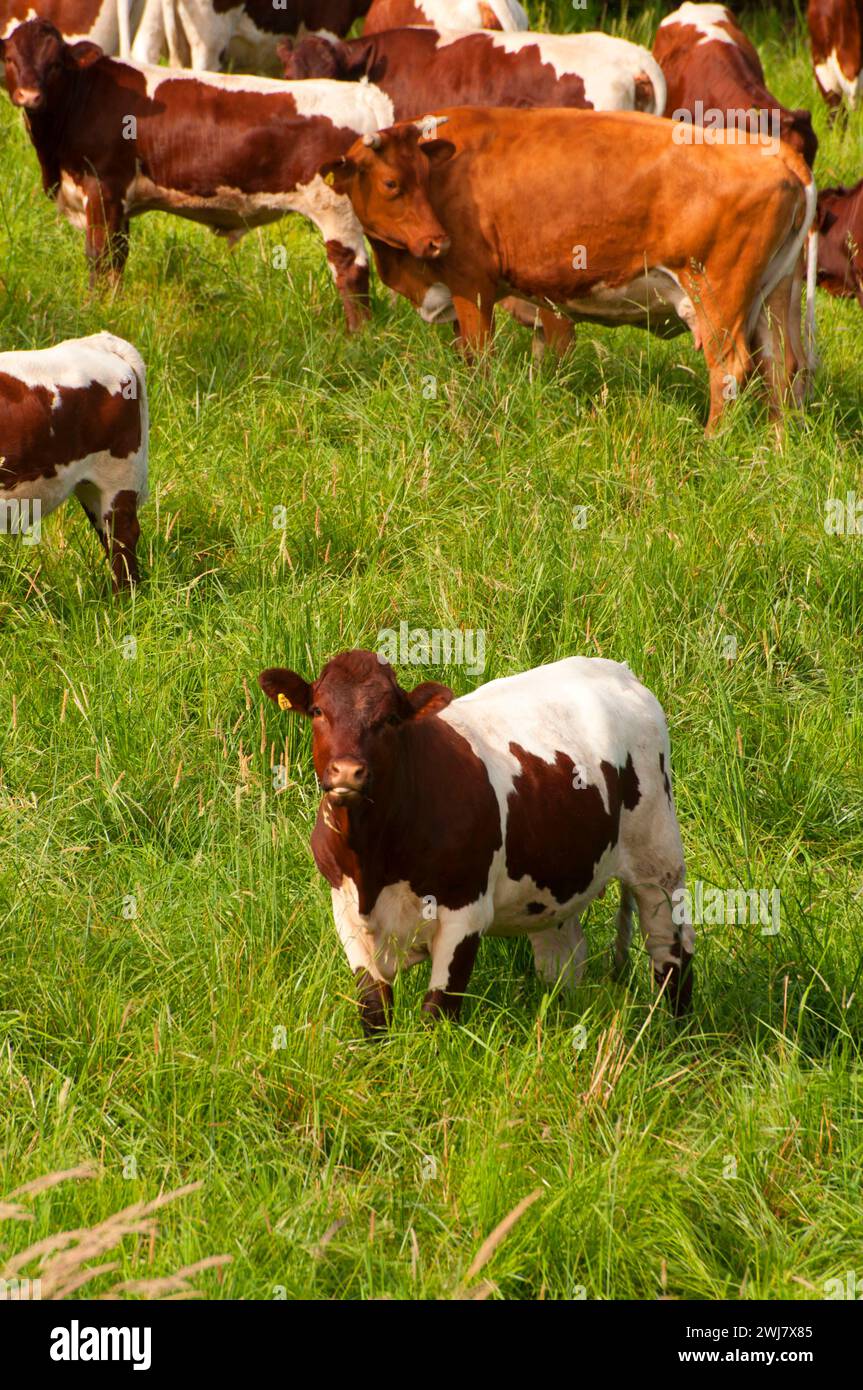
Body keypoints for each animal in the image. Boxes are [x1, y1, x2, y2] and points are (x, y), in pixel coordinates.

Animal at [0, 20, 395, 332]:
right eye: (10, 59)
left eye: (55, 63)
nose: (29, 96)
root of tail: (363, 94)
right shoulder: (121, 201)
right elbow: (119, 256)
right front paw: (112, 307)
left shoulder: (102, 186)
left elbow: (100, 256)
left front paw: (94, 312)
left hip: (337, 209)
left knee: (351, 270)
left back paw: (357, 338)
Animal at [259, 649, 692, 1033]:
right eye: (318, 711)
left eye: (390, 718)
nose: (347, 771)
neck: (374, 859)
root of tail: (618, 670)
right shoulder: (347, 913)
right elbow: (373, 1011)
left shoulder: (464, 912)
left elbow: (438, 1011)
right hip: (553, 882)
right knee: (563, 959)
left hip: (658, 857)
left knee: (672, 950)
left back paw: (675, 1036)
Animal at [323, 108, 817, 433]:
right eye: (393, 182)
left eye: (420, 179)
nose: (437, 240)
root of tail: (775, 151)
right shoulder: (543, 302)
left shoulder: (472, 285)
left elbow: (479, 360)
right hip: (776, 295)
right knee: (782, 366)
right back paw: (776, 444)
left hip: (716, 294)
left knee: (730, 367)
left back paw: (710, 442)